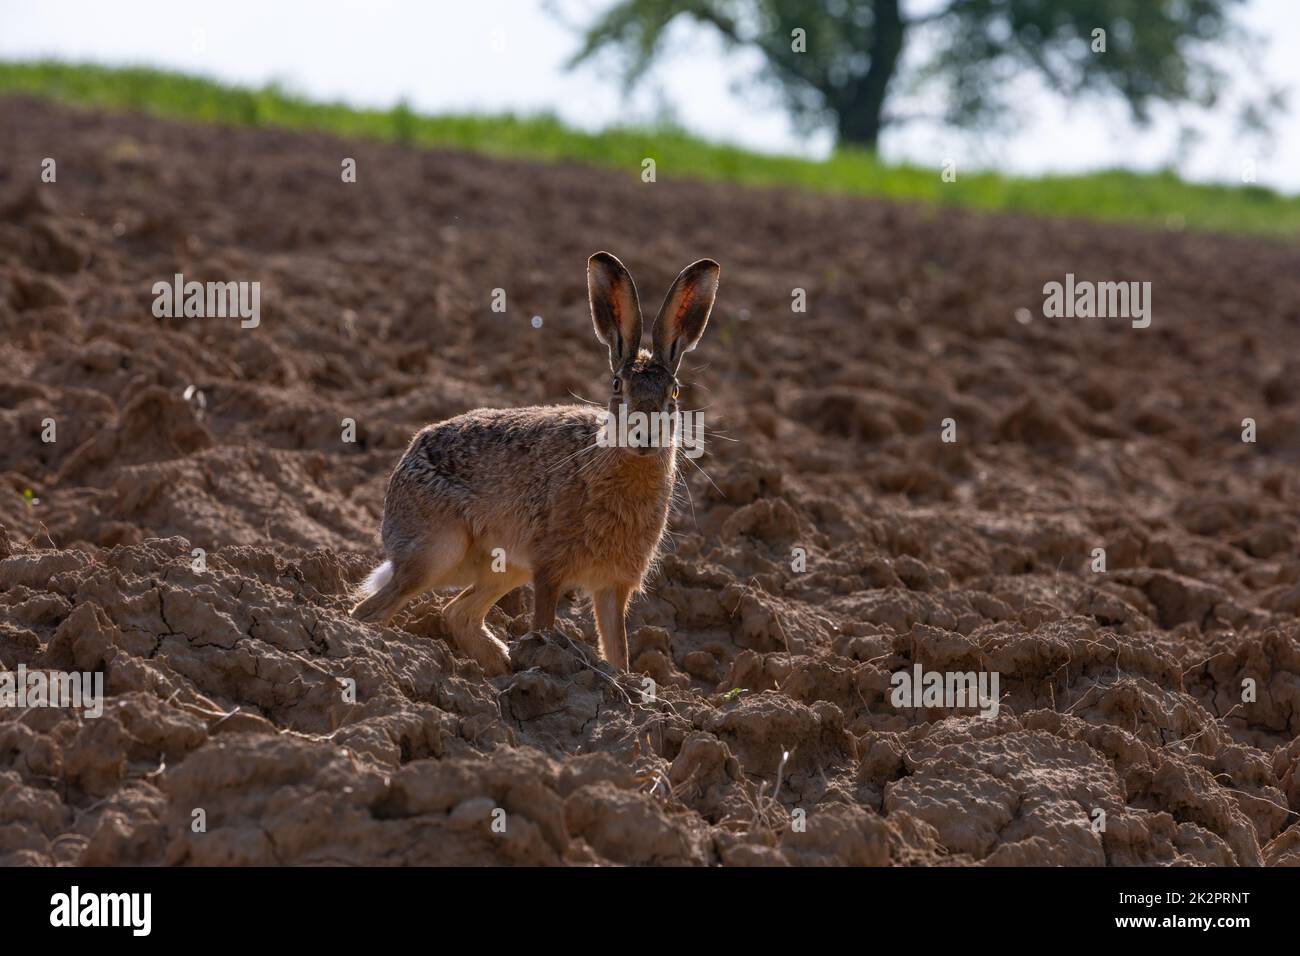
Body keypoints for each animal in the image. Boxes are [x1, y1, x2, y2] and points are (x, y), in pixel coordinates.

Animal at [350, 251, 719, 677]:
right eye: (616, 386)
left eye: (673, 392)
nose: (645, 434)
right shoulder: (548, 570)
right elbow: (544, 624)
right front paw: (549, 662)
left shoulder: (612, 585)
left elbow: (617, 650)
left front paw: (622, 682)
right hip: (438, 550)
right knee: (372, 609)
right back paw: (370, 646)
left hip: (506, 567)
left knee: (456, 612)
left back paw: (500, 664)